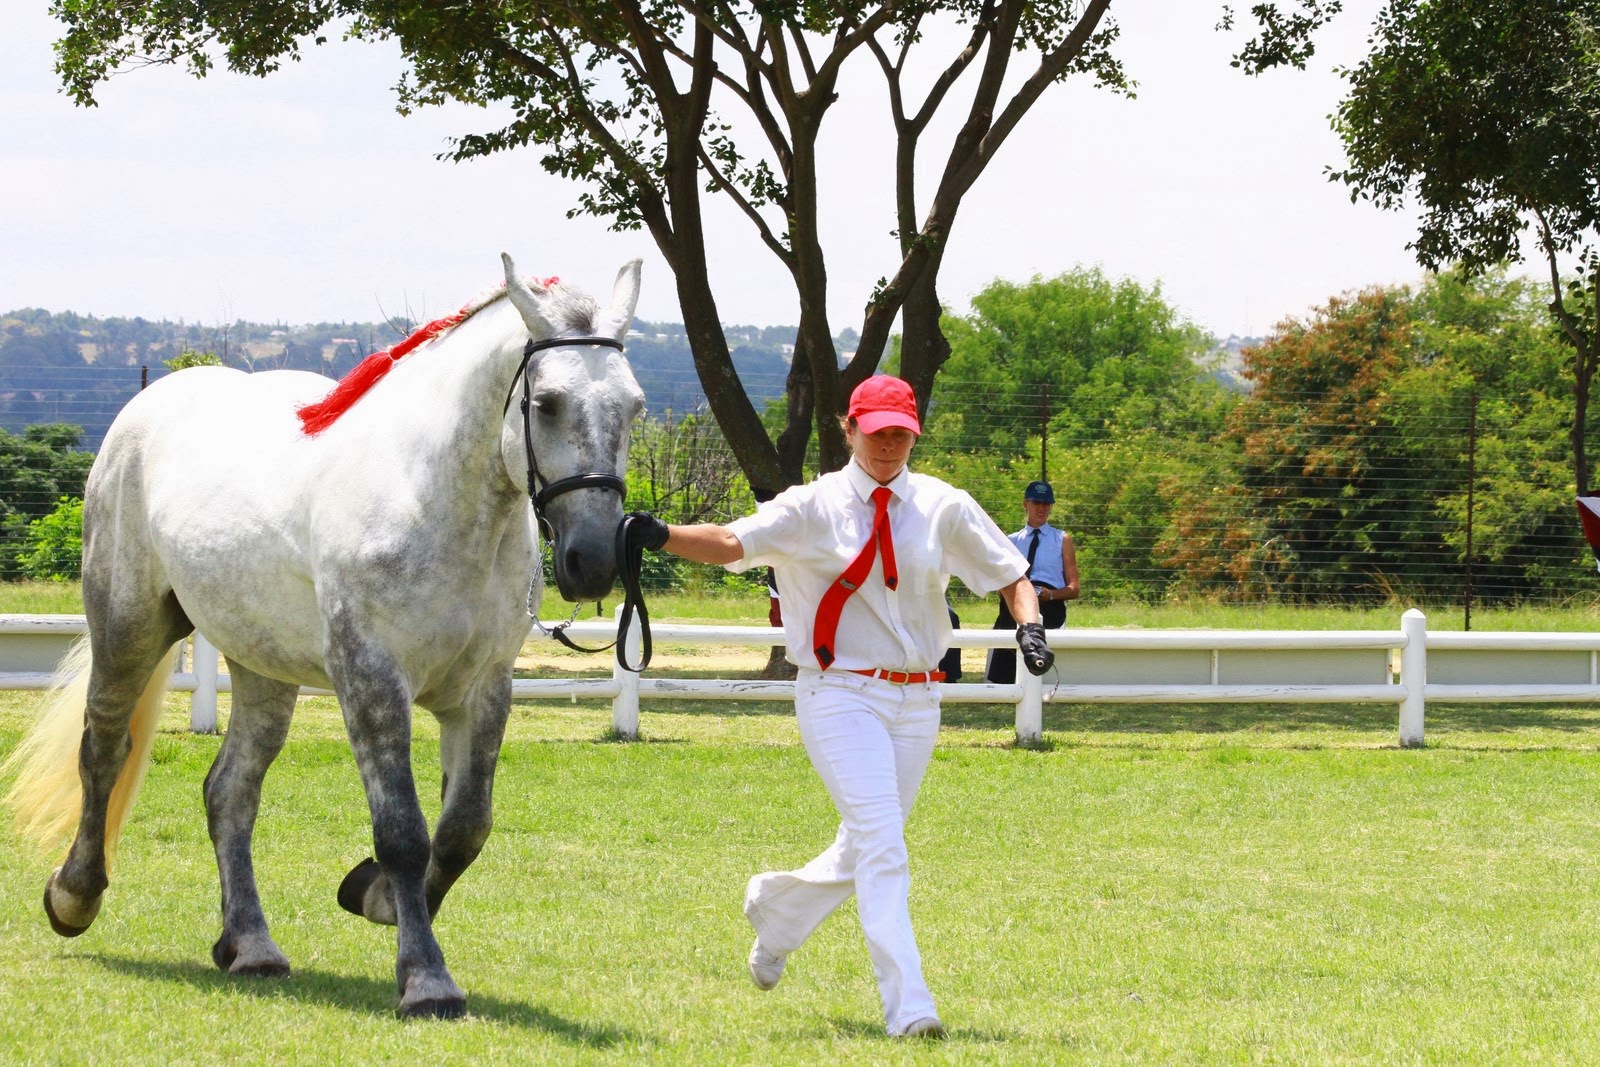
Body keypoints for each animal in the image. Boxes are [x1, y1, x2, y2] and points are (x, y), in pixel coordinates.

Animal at [2, 254, 645, 1018]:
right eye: (545, 402)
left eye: (634, 407)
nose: (594, 559)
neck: (431, 498)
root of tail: (149, 406)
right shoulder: (371, 678)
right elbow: (404, 831)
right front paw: (425, 979)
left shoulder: (484, 687)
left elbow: (464, 825)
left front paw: (375, 898)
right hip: (128, 628)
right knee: (103, 750)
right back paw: (74, 895)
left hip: (263, 667)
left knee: (229, 792)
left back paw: (249, 944)